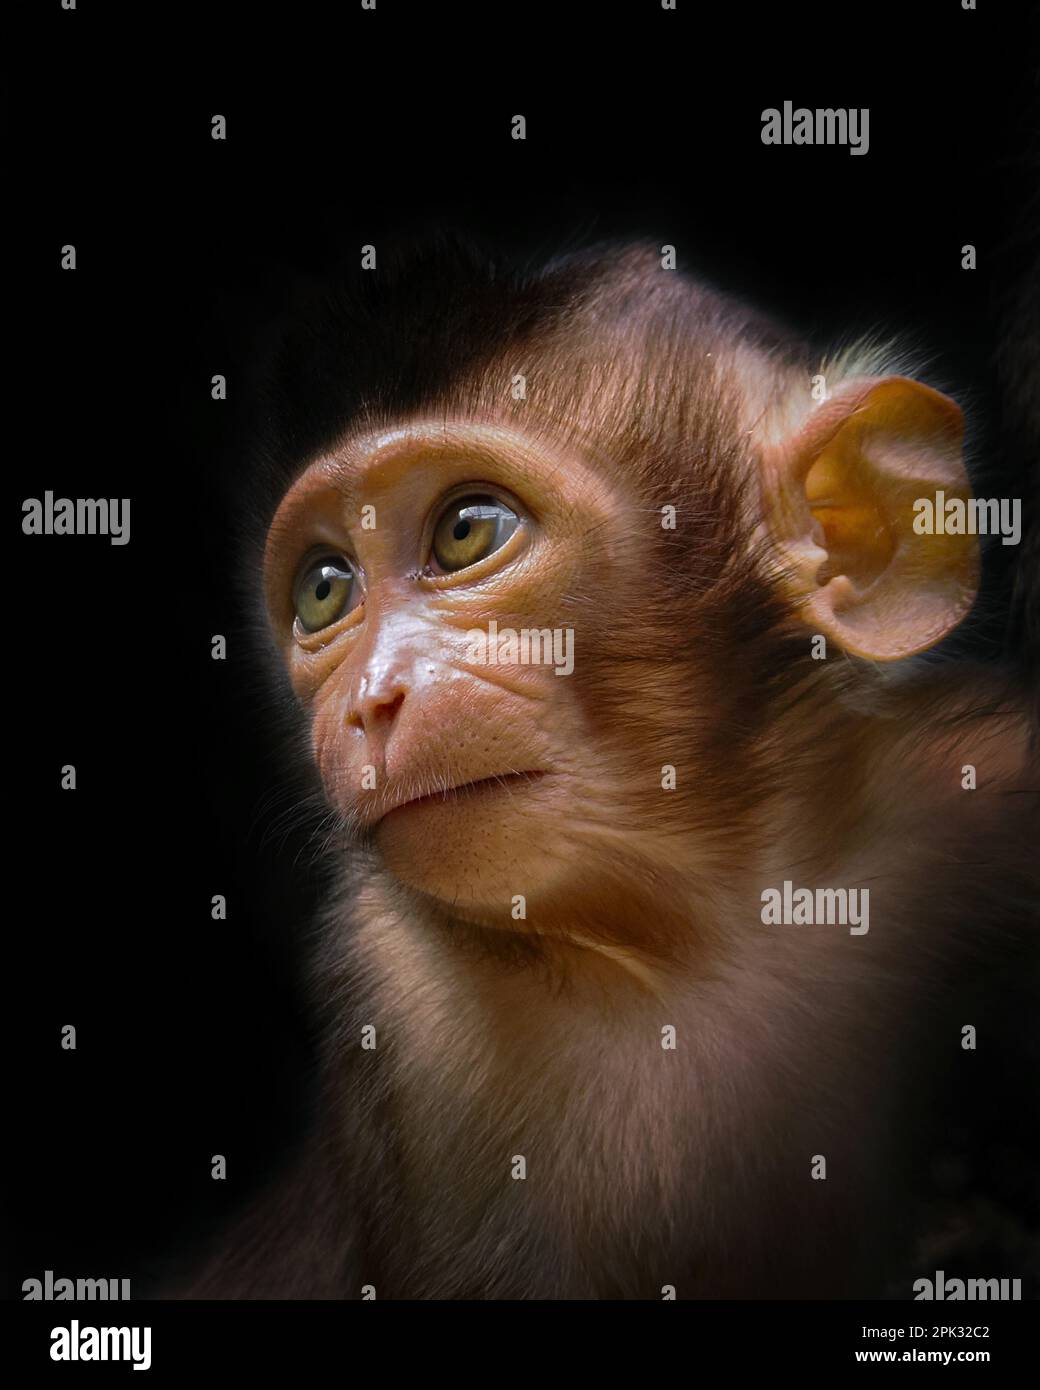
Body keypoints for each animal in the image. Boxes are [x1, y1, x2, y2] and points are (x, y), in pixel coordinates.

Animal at [173, 237, 1038, 1300]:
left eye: (466, 530)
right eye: (325, 589)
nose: (370, 700)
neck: (699, 928)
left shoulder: (982, 795)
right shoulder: (404, 1016)